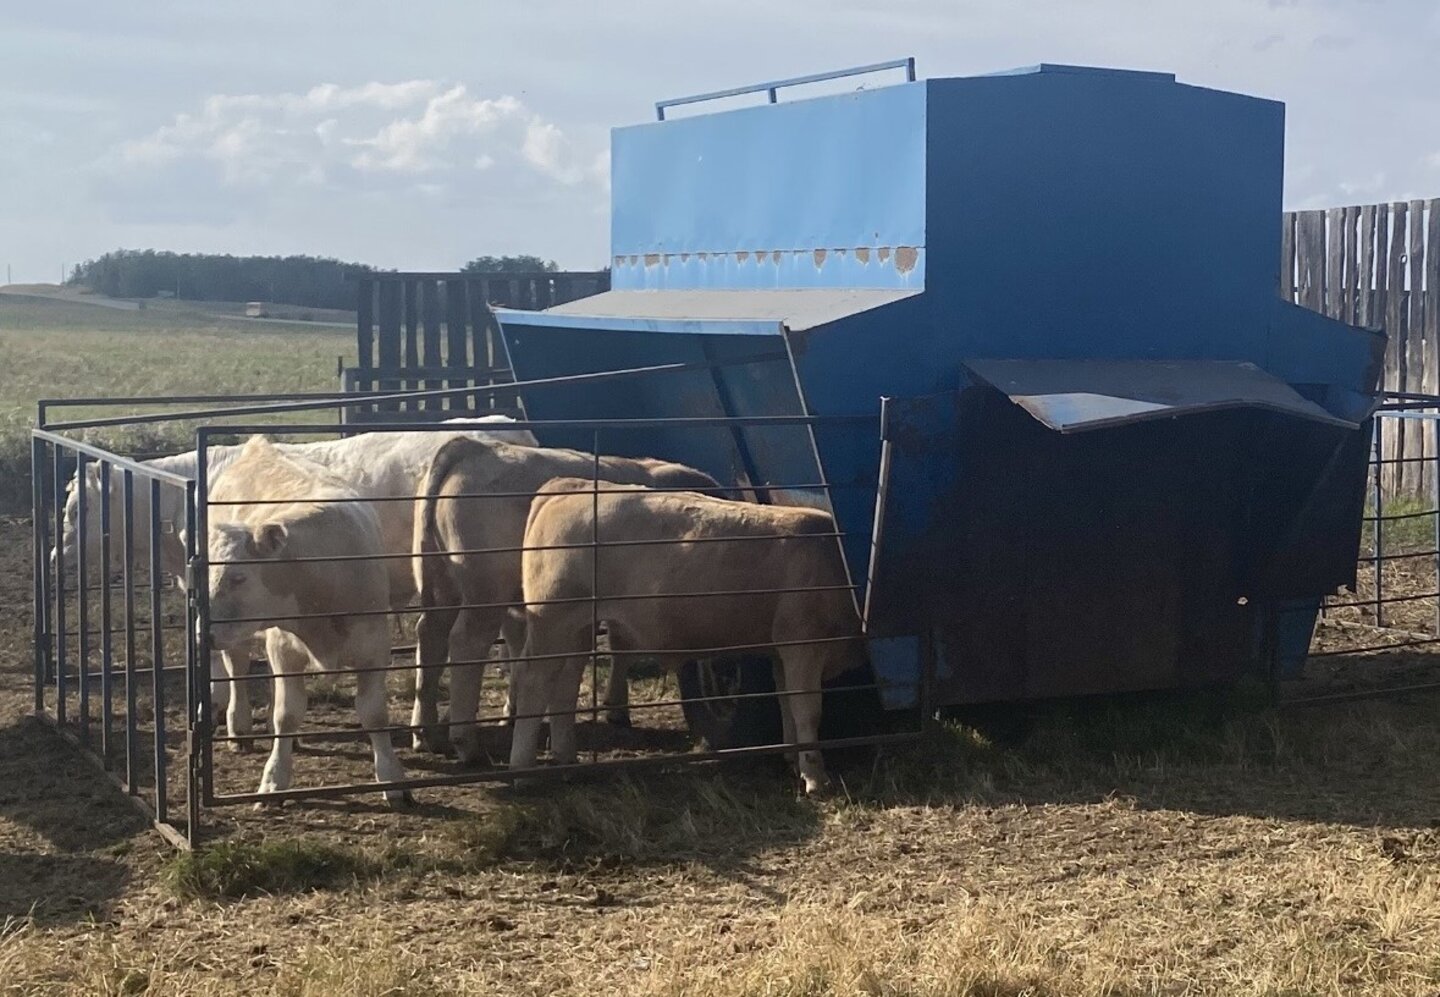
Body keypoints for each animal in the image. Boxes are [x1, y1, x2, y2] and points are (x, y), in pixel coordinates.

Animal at [205, 436, 407, 806]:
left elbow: (373, 713)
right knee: (238, 667)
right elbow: (287, 714)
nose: (204, 633)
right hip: (241, 639)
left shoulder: (374, 647)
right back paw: (240, 727)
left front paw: (391, 778)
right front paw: (274, 780)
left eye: (239, 577)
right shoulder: (285, 648)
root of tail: (259, 446)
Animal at [412, 437, 724, 763]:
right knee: (466, 643)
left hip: (438, 581)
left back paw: (426, 734)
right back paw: (465, 743)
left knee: (431, 636)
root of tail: (473, 447)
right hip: (485, 591)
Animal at [511, 478, 863, 795]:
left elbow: (786, 701)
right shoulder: (803, 642)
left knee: (564, 685)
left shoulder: (781, 649)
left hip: (578, 629)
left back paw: (566, 760)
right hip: (553, 621)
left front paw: (792, 758)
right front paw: (815, 777)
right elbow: (807, 708)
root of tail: (572, 485)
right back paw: (523, 770)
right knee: (534, 684)